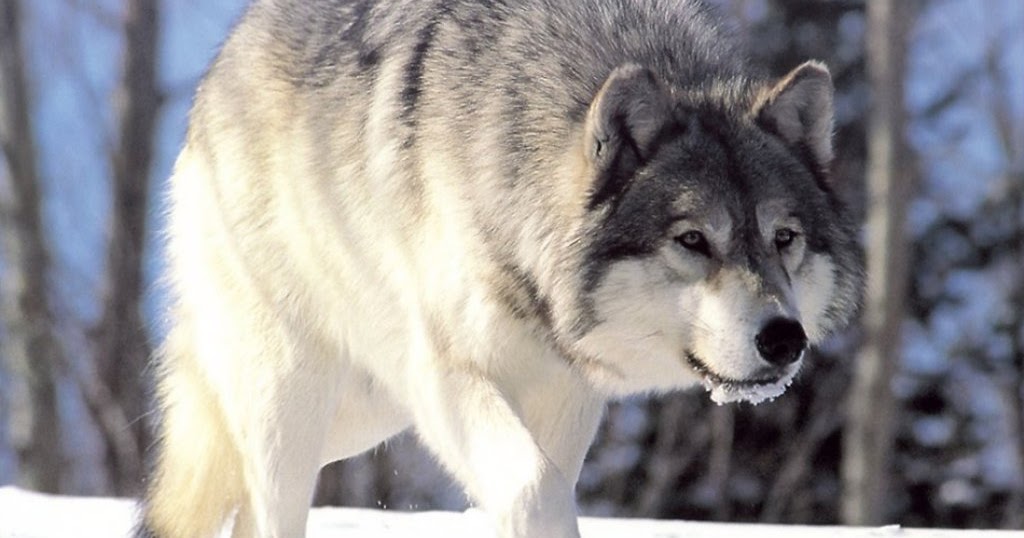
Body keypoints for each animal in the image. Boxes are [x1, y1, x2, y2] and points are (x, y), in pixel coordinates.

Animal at [138, 0, 864, 536]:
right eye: (692, 240)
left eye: (783, 239)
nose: (785, 339)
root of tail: (222, 64)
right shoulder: (447, 375)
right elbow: (535, 487)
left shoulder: (566, 392)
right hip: (294, 399)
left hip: (367, 412)